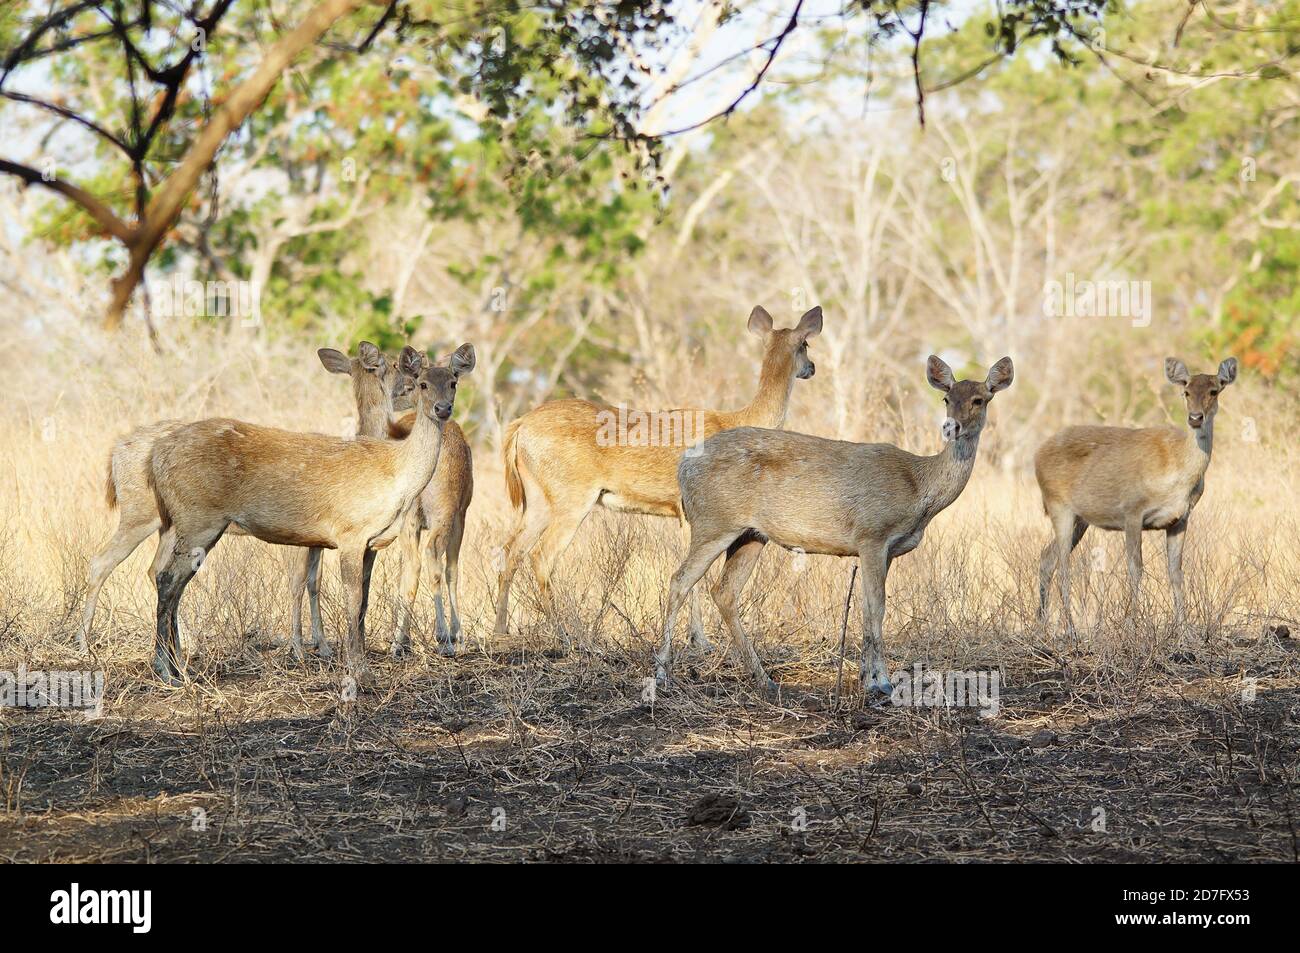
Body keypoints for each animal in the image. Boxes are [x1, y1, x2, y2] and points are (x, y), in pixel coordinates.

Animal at [79, 342, 408, 657]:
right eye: (393, 365)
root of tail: (117, 450)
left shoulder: (318, 539)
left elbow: (314, 583)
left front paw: (323, 646)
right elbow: (300, 581)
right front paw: (299, 649)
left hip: (169, 525)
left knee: (154, 570)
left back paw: (181, 645)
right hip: (140, 513)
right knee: (103, 562)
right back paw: (84, 643)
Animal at [146, 344, 475, 689]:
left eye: (453, 382)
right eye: (421, 383)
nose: (443, 408)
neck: (394, 473)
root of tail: (155, 458)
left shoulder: (371, 542)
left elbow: (364, 602)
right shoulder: (349, 532)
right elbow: (352, 600)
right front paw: (359, 672)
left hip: (196, 525)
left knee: (173, 581)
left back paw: (177, 667)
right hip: (197, 518)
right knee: (167, 579)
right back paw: (165, 671)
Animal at [494, 305, 823, 642]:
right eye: (806, 344)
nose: (811, 368)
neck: (744, 419)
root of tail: (519, 426)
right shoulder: (697, 511)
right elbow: (693, 576)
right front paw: (700, 639)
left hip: (538, 498)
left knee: (510, 551)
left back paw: (500, 630)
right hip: (571, 495)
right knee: (542, 556)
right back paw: (570, 635)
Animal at [656, 355, 1014, 698]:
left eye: (980, 399)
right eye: (946, 398)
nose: (952, 426)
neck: (918, 490)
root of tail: (683, 466)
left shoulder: (886, 549)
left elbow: (866, 608)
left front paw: (866, 678)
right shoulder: (872, 533)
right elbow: (877, 608)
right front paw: (882, 683)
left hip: (749, 534)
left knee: (724, 591)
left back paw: (765, 680)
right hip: (714, 521)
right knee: (679, 580)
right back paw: (662, 674)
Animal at [1034, 357, 1237, 631]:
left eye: (1214, 391)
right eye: (1185, 391)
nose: (1195, 418)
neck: (1177, 473)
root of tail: (1036, 456)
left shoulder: (1180, 519)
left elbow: (1176, 572)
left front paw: (1183, 630)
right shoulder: (1131, 510)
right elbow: (1135, 568)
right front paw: (1133, 625)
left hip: (1080, 519)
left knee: (1047, 558)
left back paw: (1041, 624)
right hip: (1058, 505)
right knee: (1064, 566)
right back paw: (1070, 630)